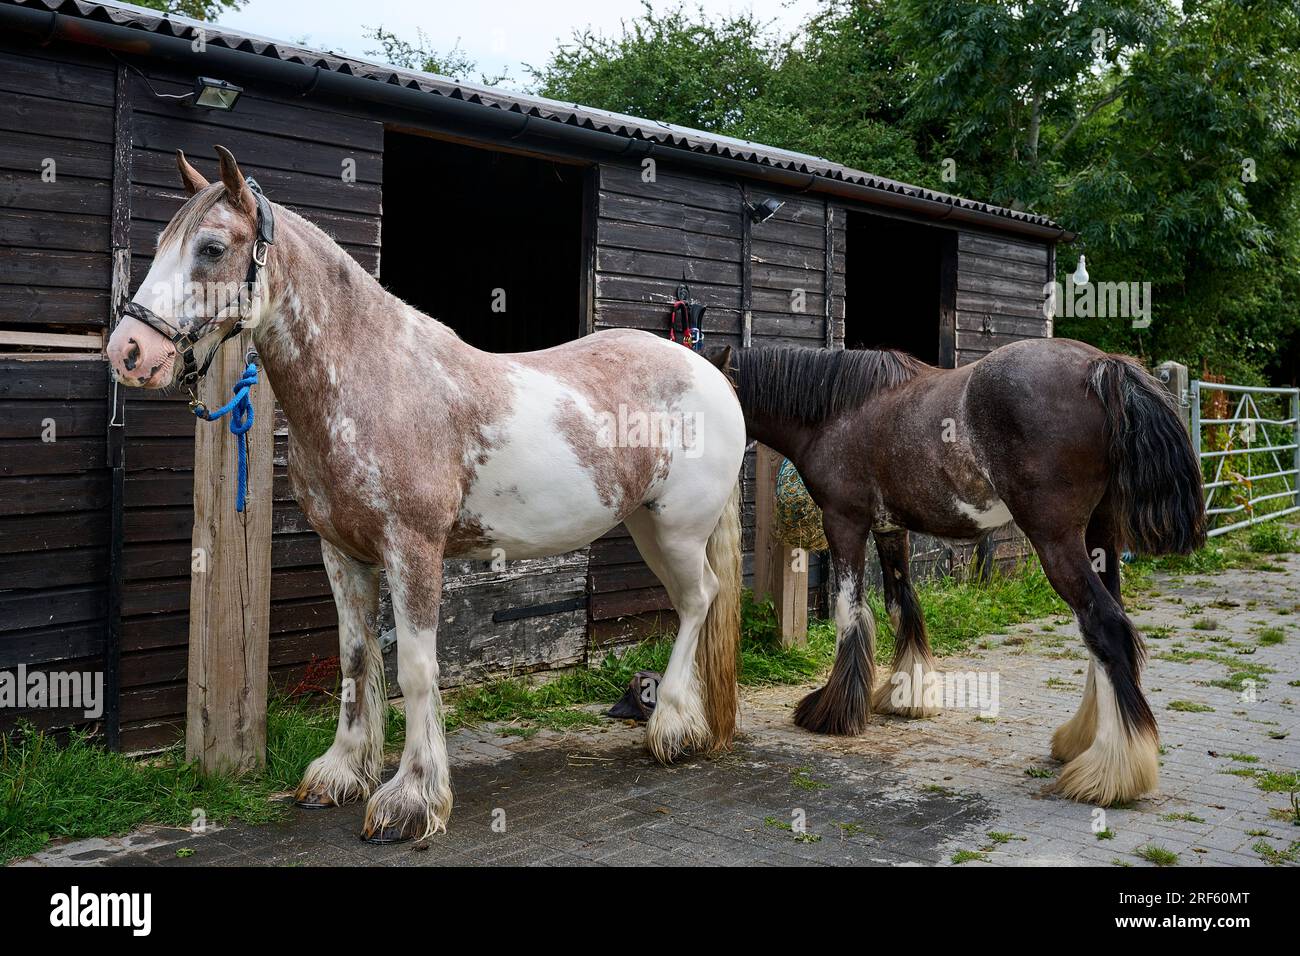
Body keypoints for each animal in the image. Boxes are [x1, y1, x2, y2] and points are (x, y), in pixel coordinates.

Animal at [106, 146, 748, 842]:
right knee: (692, 600)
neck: (373, 380)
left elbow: (414, 668)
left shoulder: (413, 551)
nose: (128, 352)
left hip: (679, 528)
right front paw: (340, 772)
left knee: (699, 600)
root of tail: (709, 372)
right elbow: (356, 659)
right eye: (160, 244)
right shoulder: (343, 553)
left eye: (212, 247)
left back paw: (673, 727)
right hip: (647, 525)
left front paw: (410, 799)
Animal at [730, 340, 1205, 805]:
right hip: (1100, 539)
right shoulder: (890, 527)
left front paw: (833, 711)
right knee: (1106, 629)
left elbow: (850, 613)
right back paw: (1082, 741)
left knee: (1104, 626)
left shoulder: (844, 522)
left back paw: (1110, 771)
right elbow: (901, 604)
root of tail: (1102, 367)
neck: (840, 408)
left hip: (1057, 541)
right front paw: (906, 695)